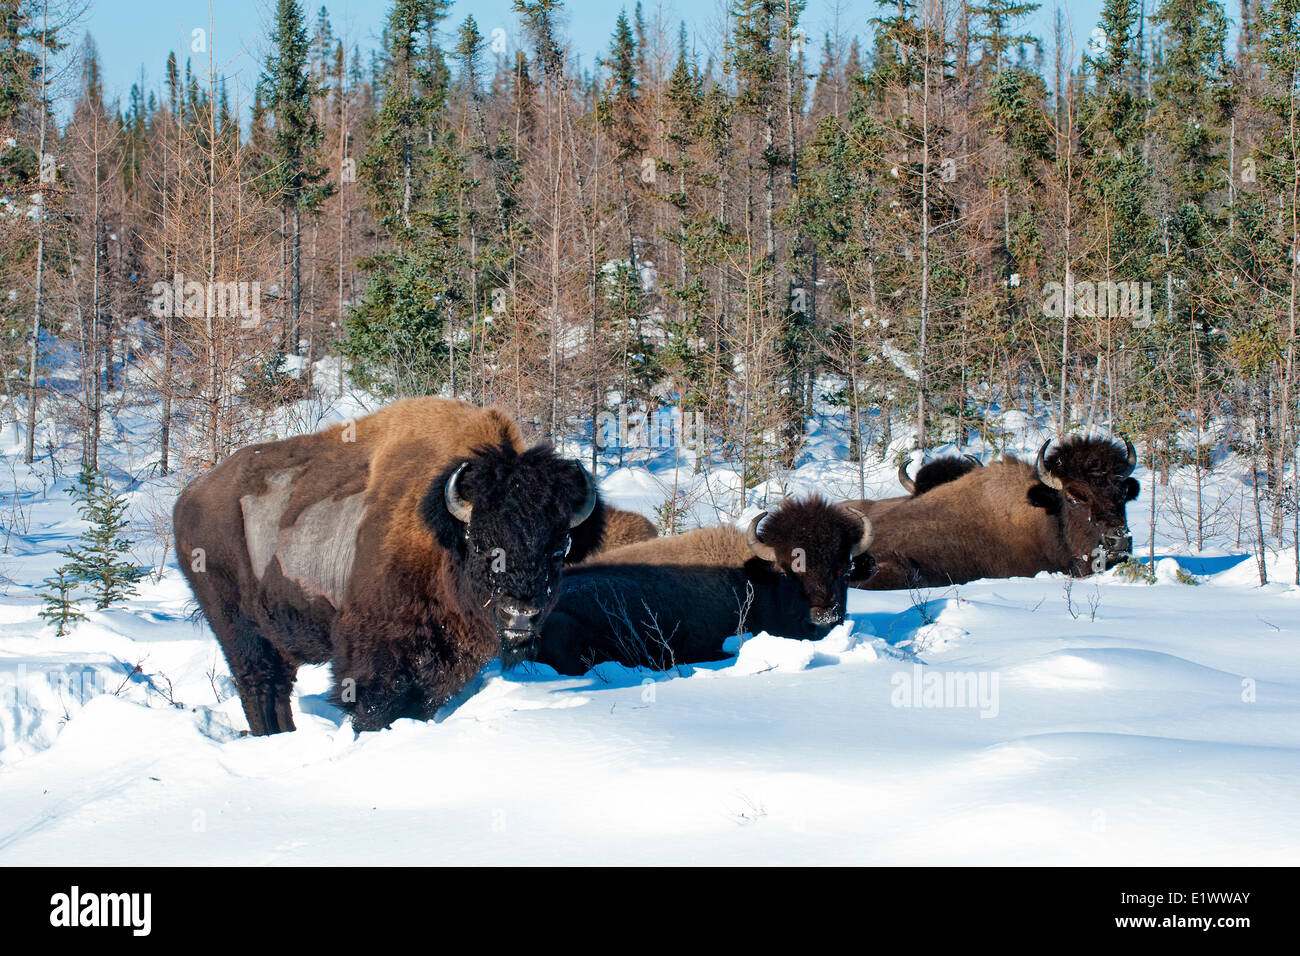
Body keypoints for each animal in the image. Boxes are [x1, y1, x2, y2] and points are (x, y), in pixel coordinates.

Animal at [174, 398, 605, 734]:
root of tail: (189, 498)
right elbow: (373, 706)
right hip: (236, 625)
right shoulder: (373, 655)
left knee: (277, 684)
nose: (520, 615)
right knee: (259, 683)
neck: (440, 535)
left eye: (559, 548)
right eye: (481, 544)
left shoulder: (439, 664)